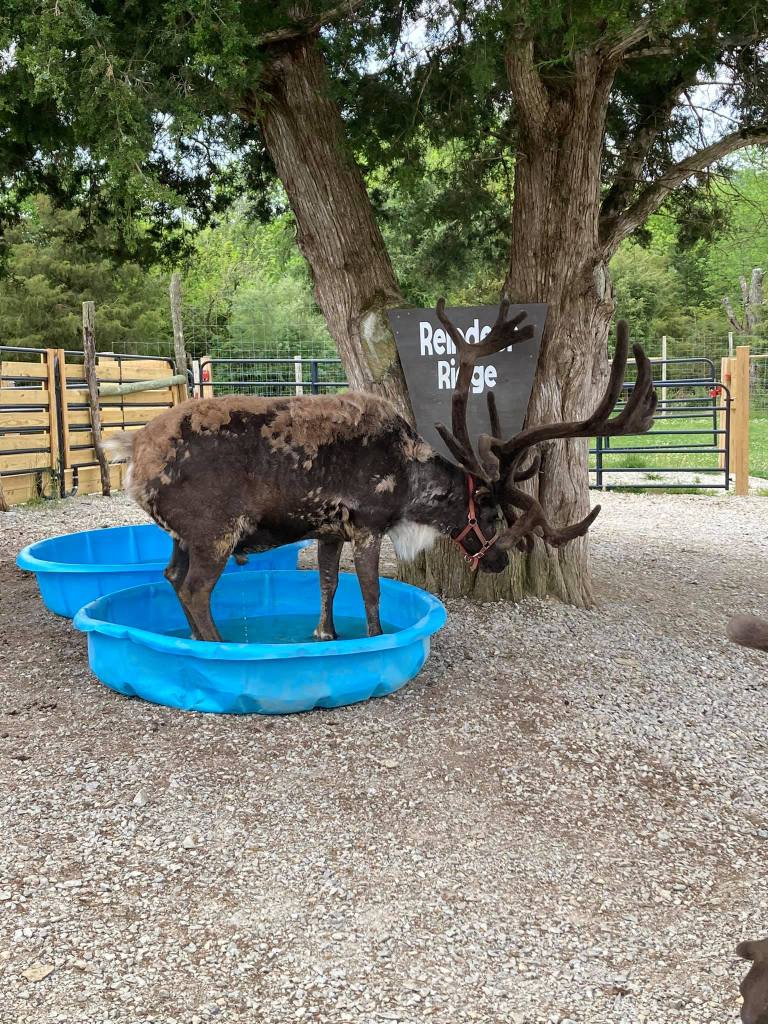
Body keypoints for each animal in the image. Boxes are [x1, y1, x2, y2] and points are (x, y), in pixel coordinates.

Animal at [103, 300, 657, 643]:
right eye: (493, 514)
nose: (500, 561)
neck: (412, 482)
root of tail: (134, 449)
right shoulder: (368, 522)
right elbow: (369, 591)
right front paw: (373, 637)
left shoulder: (327, 528)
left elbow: (328, 584)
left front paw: (325, 634)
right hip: (213, 531)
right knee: (195, 588)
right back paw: (218, 646)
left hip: (182, 536)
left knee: (171, 577)